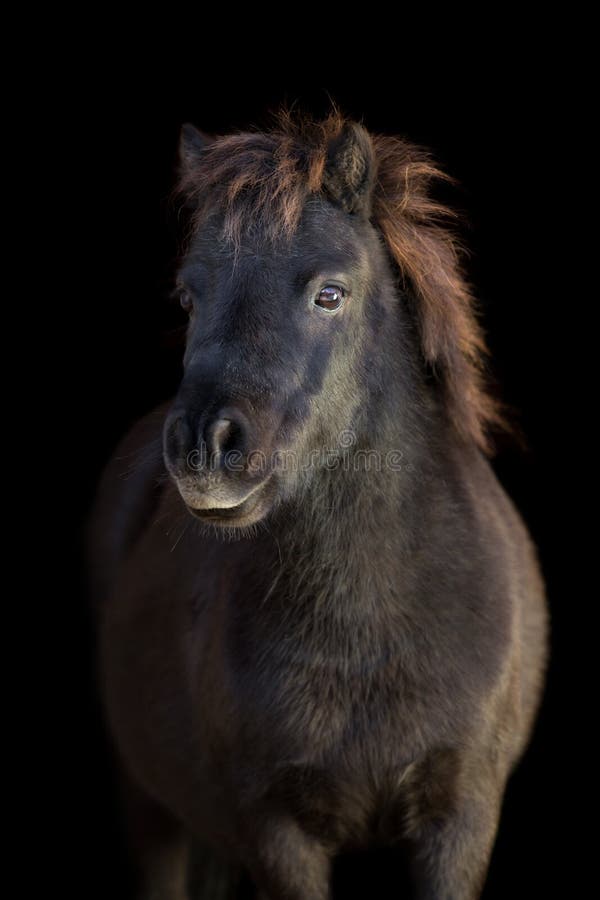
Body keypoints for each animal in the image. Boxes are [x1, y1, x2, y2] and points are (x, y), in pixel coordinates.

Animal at [89, 113, 548, 899]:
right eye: (188, 297)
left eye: (329, 294)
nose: (204, 446)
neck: (369, 627)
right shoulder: (278, 833)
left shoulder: (460, 823)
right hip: (152, 813)